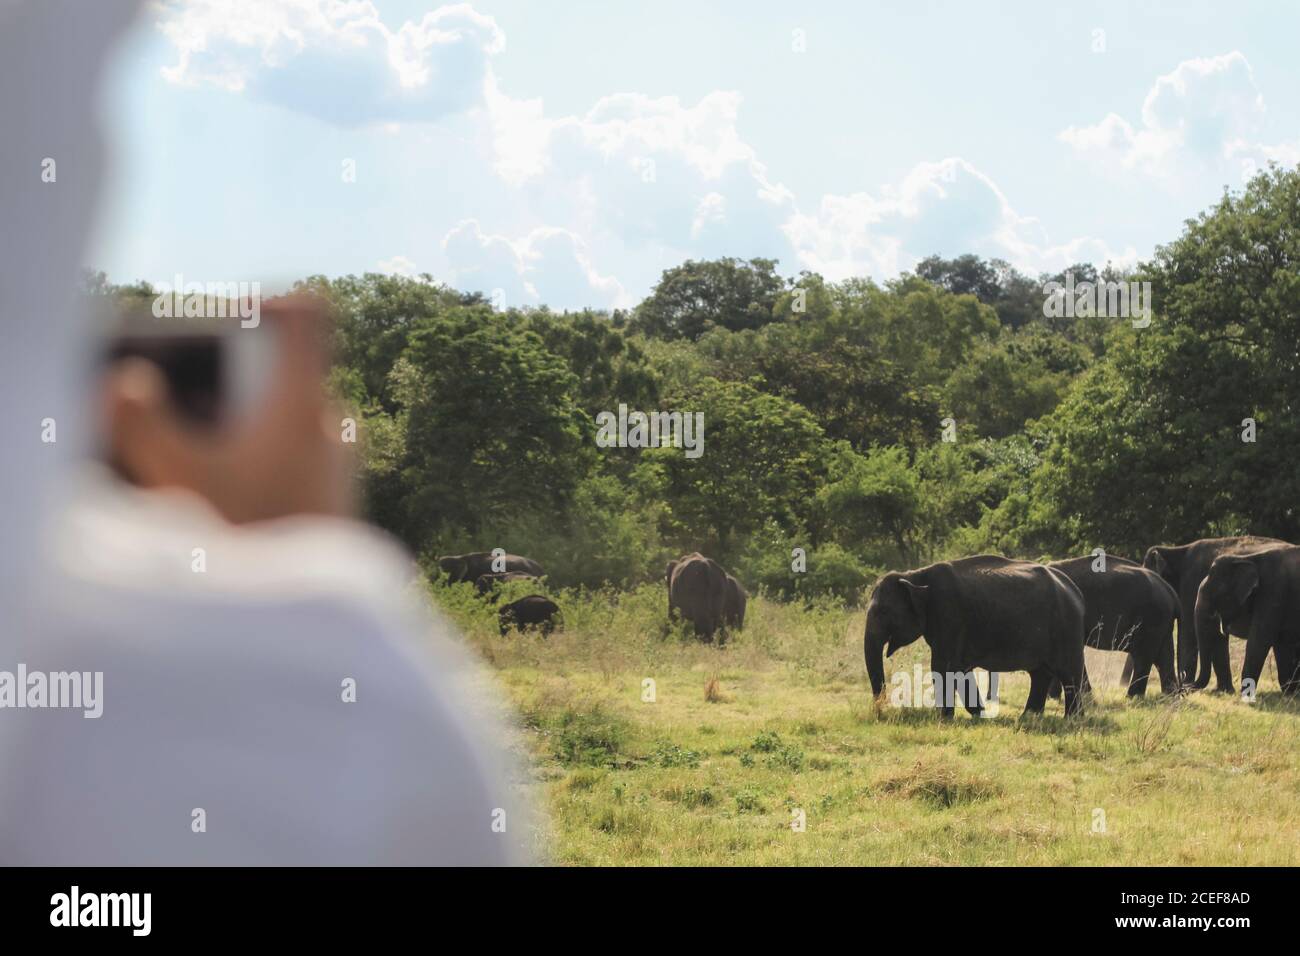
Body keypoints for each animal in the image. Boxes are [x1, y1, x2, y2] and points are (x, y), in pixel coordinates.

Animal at [864, 555, 1087, 718]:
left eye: (883, 611)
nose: (881, 710)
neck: (915, 576)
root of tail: (1074, 589)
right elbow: (960, 668)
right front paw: (979, 713)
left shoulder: (949, 614)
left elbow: (942, 666)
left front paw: (944, 717)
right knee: (1040, 673)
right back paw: (1029, 717)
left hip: (1066, 627)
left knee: (1068, 673)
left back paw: (1072, 719)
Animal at [1047, 556, 1179, 696]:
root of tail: (1170, 591)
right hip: (1162, 620)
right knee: (1163, 656)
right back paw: (1170, 695)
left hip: (1152, 617)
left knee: (1143, 656)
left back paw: (1132, 697)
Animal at [1143, 536, 1284, 689]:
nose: (1182, 685)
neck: (1176, 550)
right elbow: (1216, 635)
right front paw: (1222, 691)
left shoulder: (1191, 582)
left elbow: (1189, 633)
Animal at [1194, 543, 1300, 698]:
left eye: (1217, 595)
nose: (1183, 687)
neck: (1245, 558)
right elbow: (1281, 643)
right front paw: (1290, 693)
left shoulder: (1273, 591)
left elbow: (1260, 639)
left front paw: (1245, 695)